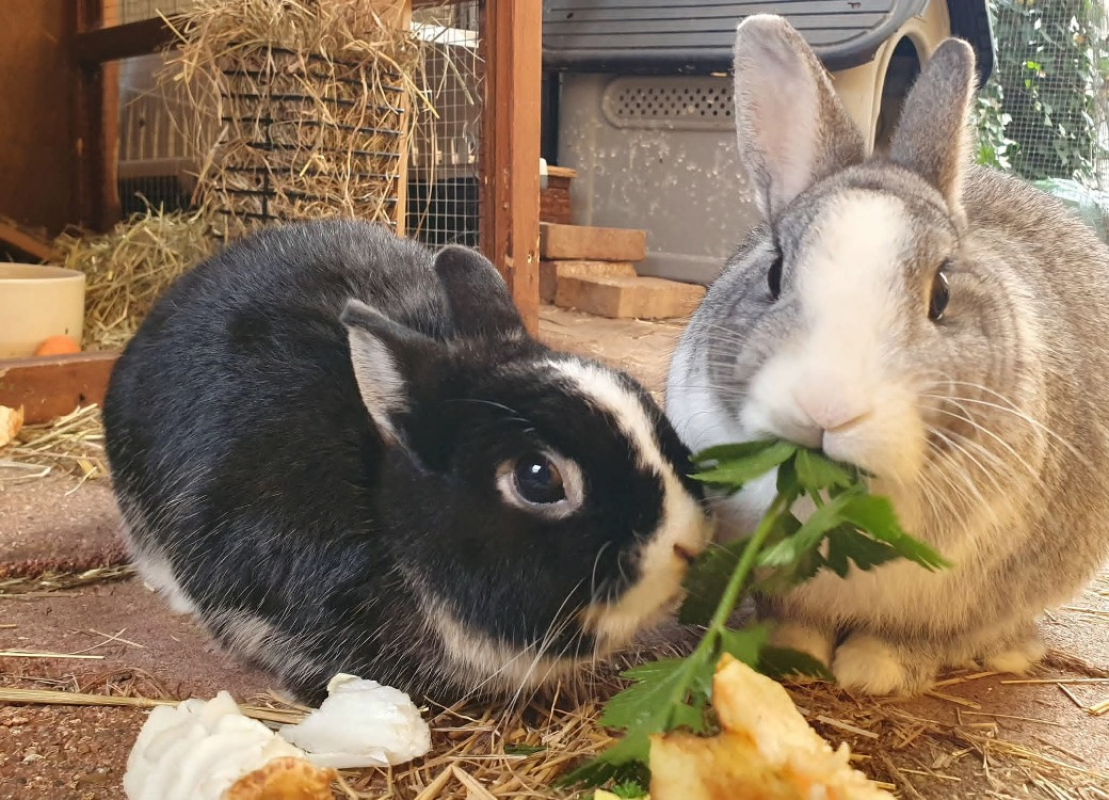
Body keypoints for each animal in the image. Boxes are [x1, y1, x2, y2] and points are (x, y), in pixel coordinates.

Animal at [665, 14, 1109, 697]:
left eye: (942, 292)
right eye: (773, 272)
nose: (827, 405)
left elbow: (921, 638)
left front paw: (875, 668)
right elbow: (796, 617)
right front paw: (794, 650)